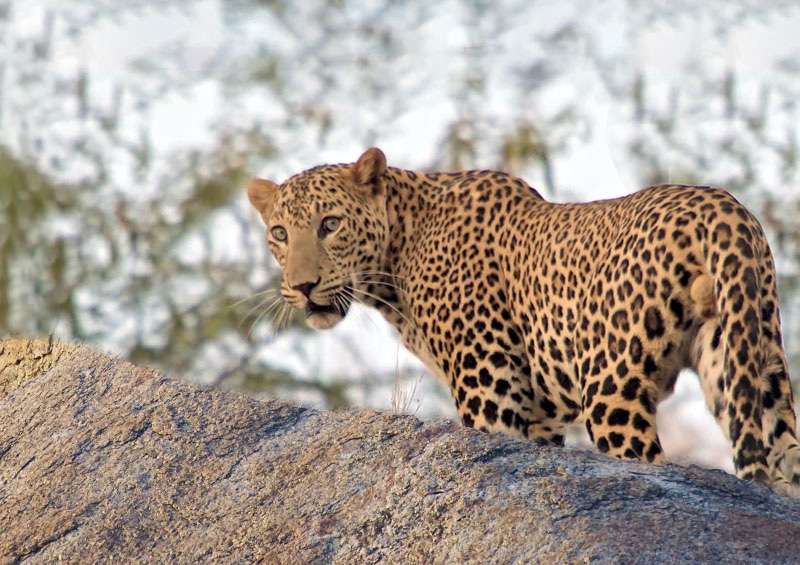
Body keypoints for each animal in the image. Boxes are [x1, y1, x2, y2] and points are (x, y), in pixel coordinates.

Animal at [247, 147, 800, 493]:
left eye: (330, 224)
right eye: (279, 233)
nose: (302, 287)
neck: (396, 254)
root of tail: (721, 205)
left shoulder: (490, 396)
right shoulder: (540, 417)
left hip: (612, 390)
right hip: (750, 356)